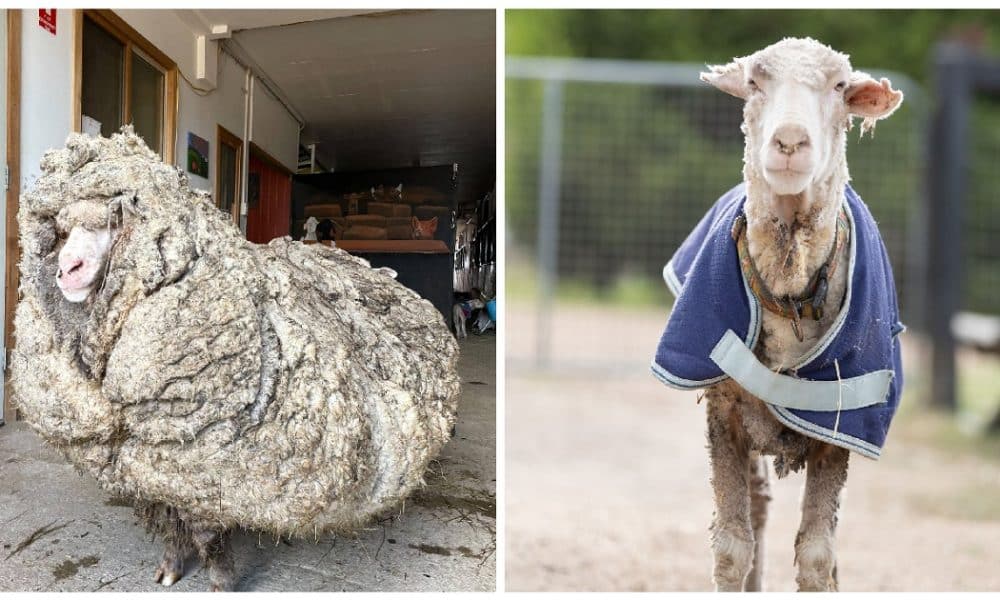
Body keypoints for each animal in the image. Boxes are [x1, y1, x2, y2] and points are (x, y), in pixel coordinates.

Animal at [10, 128, 460, 591]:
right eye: (63, 232)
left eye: (113, 224)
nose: (68, 269)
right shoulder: (153, 465)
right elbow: (170, 522)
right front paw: (171, 566)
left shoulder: (204, 468)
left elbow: (207, 532)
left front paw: (221, 579)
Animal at [651, 38, 905, 591]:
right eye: (753, 82)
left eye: (840, 86)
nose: (789, 141)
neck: (791, 291)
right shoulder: (724, 413)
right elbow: (731, 548)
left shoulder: (840, 427)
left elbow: (816, 556)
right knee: (759, 510)